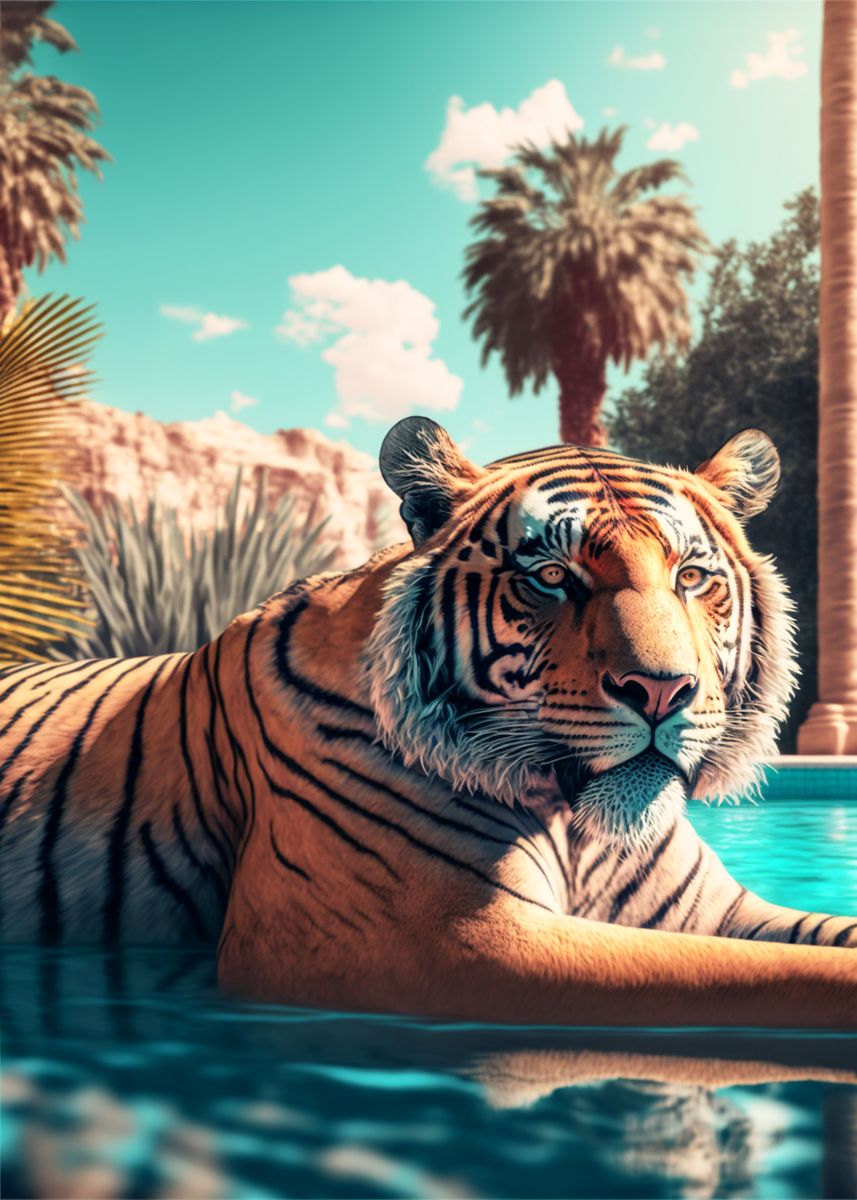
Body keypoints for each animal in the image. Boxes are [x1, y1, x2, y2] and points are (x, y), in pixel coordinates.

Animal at [0, 415, 855, 1027]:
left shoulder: (721, 912)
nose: (661, 689)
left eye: (691, 577)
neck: (578, 827)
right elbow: (770, 976)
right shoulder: (443, 942)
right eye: (552, 576)